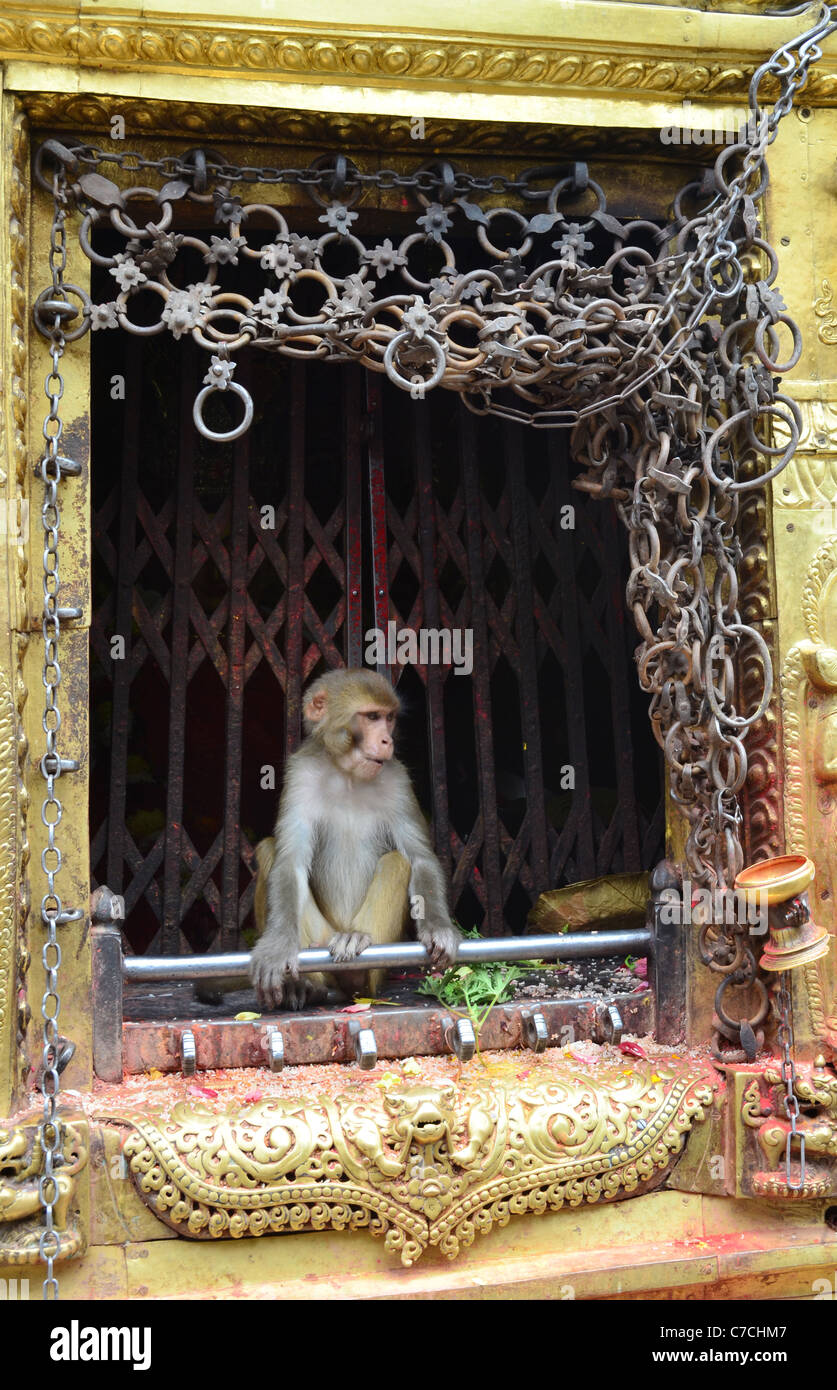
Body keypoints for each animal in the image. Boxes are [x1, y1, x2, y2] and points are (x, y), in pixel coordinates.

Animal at [248, 667, 461, 1010]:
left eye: (389, 718)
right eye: (371, 717)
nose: (387, 740)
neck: (346, 773)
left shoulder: (397, 778)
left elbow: (420, 859)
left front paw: (439, 928)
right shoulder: (300, 775)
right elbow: (289, 863)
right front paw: (277, 945)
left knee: (397, 862)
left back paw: (356, 959)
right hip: (320, 940)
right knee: (270, 850)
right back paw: (302, 985)